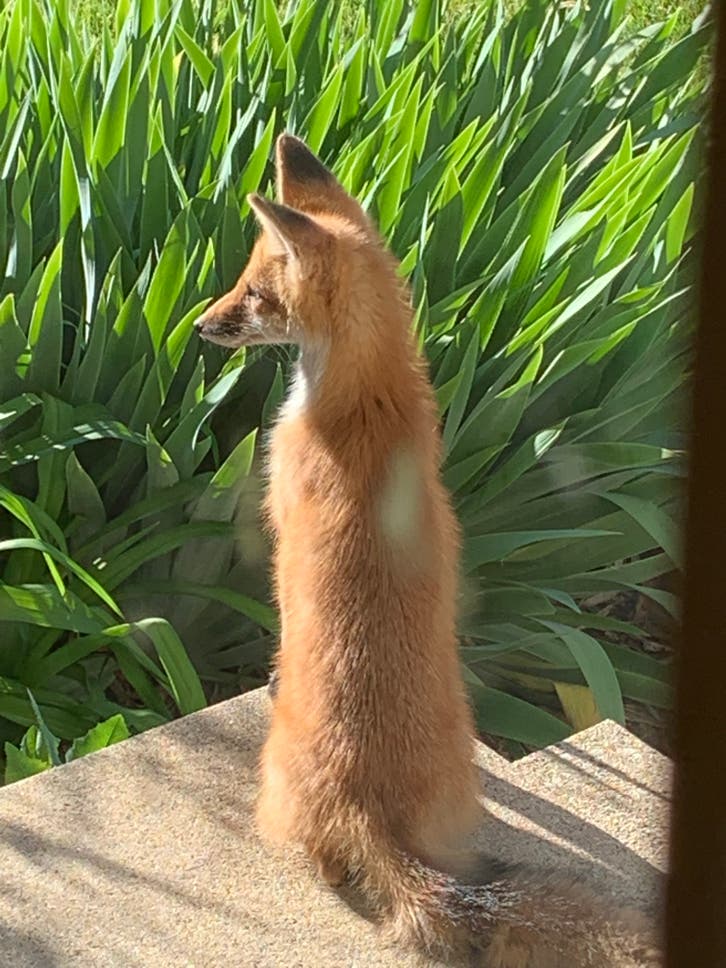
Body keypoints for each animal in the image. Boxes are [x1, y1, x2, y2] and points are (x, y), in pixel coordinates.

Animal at [194, 133, 661, 967]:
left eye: (254, 294)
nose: (196, 327)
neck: (367, 404)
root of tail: (370, 802)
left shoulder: (278, 519)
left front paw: (272, 675)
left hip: (282, 786)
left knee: (331, 862)